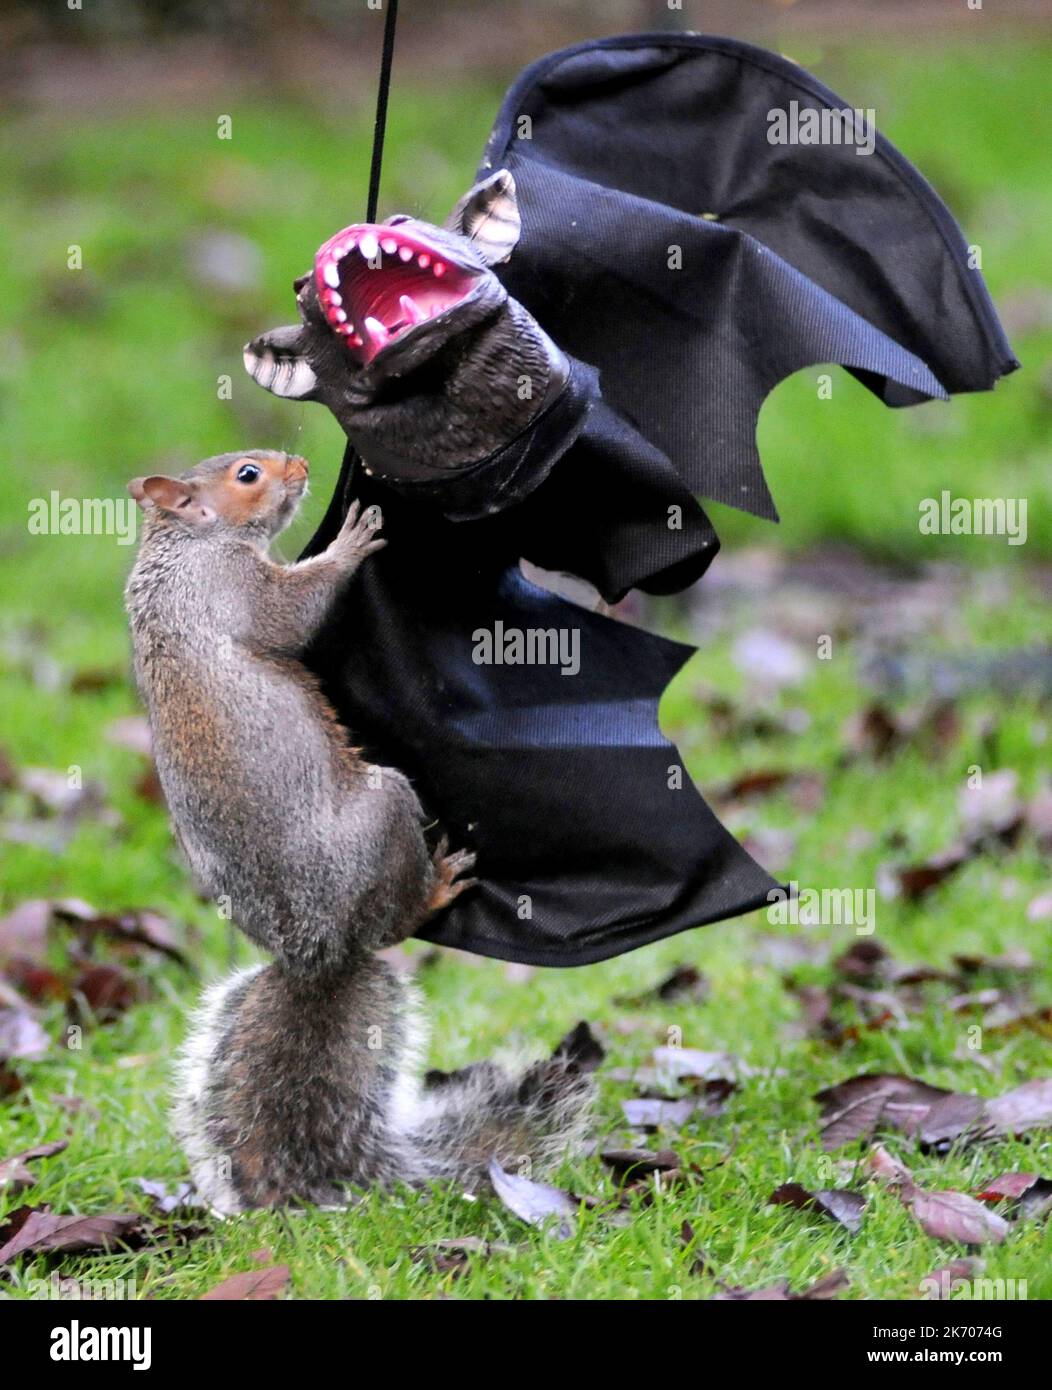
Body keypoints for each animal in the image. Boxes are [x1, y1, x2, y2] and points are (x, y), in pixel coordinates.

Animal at [125, 449, 592, 1213]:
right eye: (248, 474)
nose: (299, 462)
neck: (184, 545)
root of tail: (325, 952)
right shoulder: (231, 589)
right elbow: (288, 616)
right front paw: (350, 542)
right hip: (386, 810)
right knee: (398, 918)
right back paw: (438, 887)